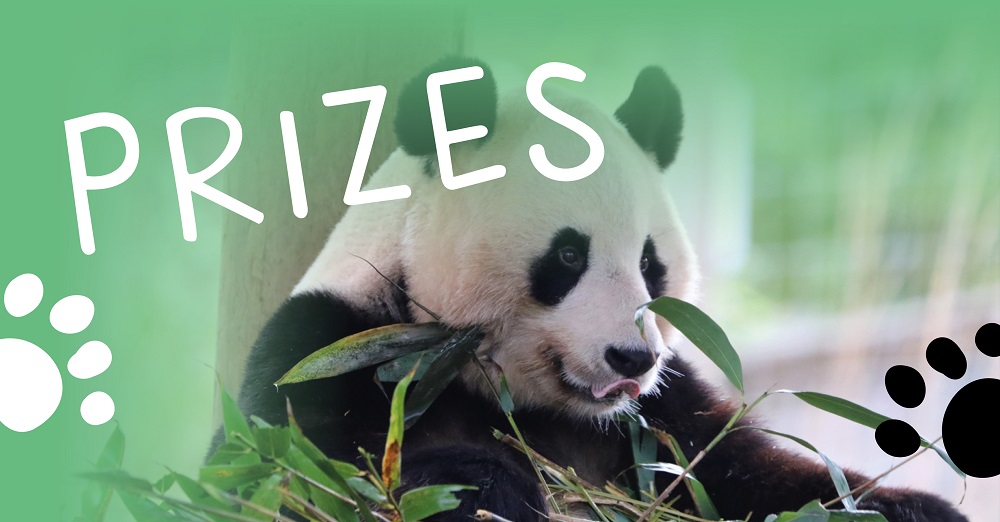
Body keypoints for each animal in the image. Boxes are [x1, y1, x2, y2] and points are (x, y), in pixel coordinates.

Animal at [224, 57, 968, 522]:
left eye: (650, 264)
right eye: (568, 255)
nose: (631, 358)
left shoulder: (663, 417)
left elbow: (752, 476)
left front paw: (905, 507)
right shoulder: (329, 356)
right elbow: (295, 479)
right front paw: (486, 490)